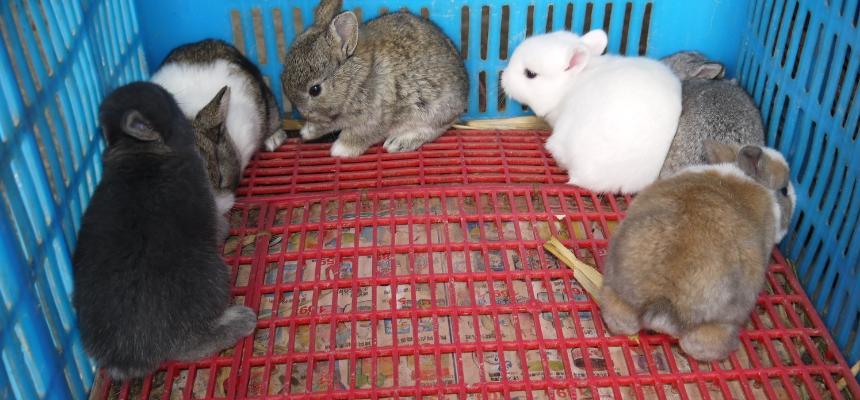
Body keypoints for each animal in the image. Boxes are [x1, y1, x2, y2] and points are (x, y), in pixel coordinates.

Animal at [281, 0, 468, 158]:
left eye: (315, 90)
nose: (302, 112)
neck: (353, 82)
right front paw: (307, 132)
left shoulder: (372, 120)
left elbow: (355, 135)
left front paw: (339, 150)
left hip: (430, 111)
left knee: (432, 129)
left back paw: (397, 143)